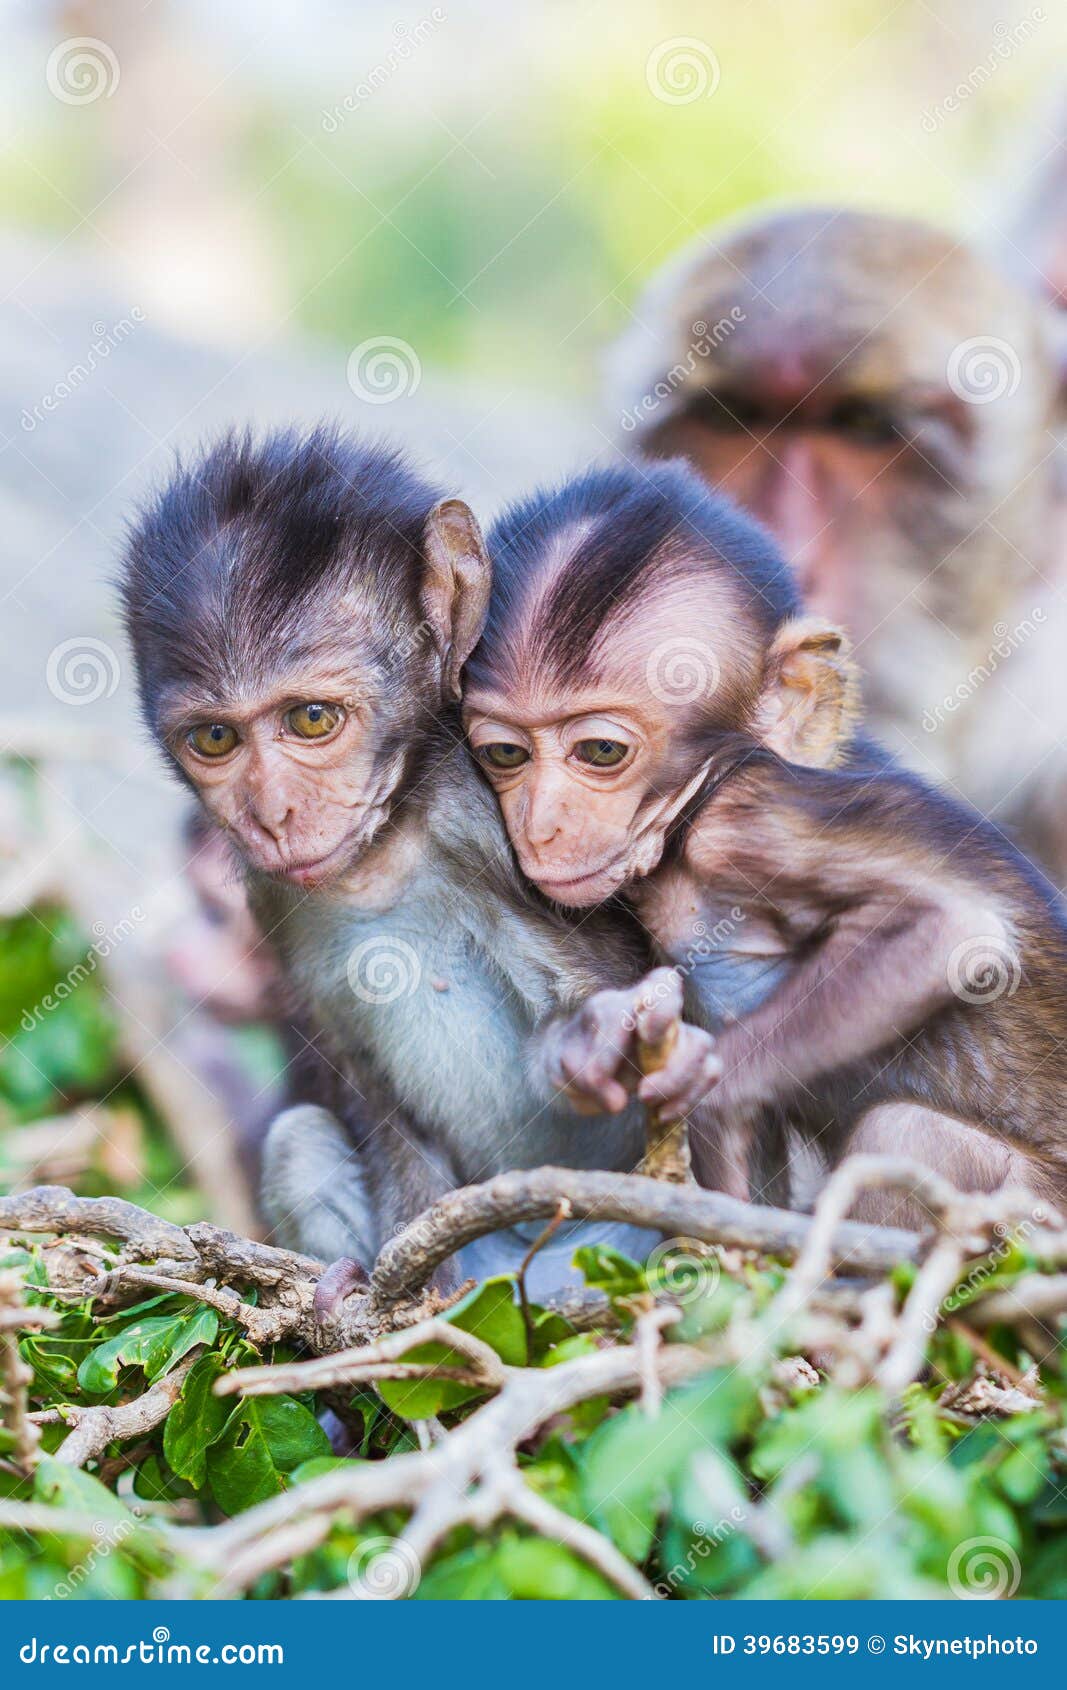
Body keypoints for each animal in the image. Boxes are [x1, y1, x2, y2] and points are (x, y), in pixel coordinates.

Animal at [119, 427, 722, 1301]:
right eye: (216, 739)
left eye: (311, 719)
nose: (272, 816)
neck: (389, 843)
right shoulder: (272, 894)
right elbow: (361, 1082)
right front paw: (395, 1294)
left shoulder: (486, 817)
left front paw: (607, 1032)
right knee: (298, 1139)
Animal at [463, 460, 1066, 1211]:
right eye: (505, 755)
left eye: (600, 752)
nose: (542, 825)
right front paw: (592, 1039)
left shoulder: (743, 821)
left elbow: (952, 927)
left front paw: (714, 1092)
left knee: (908, 1134)